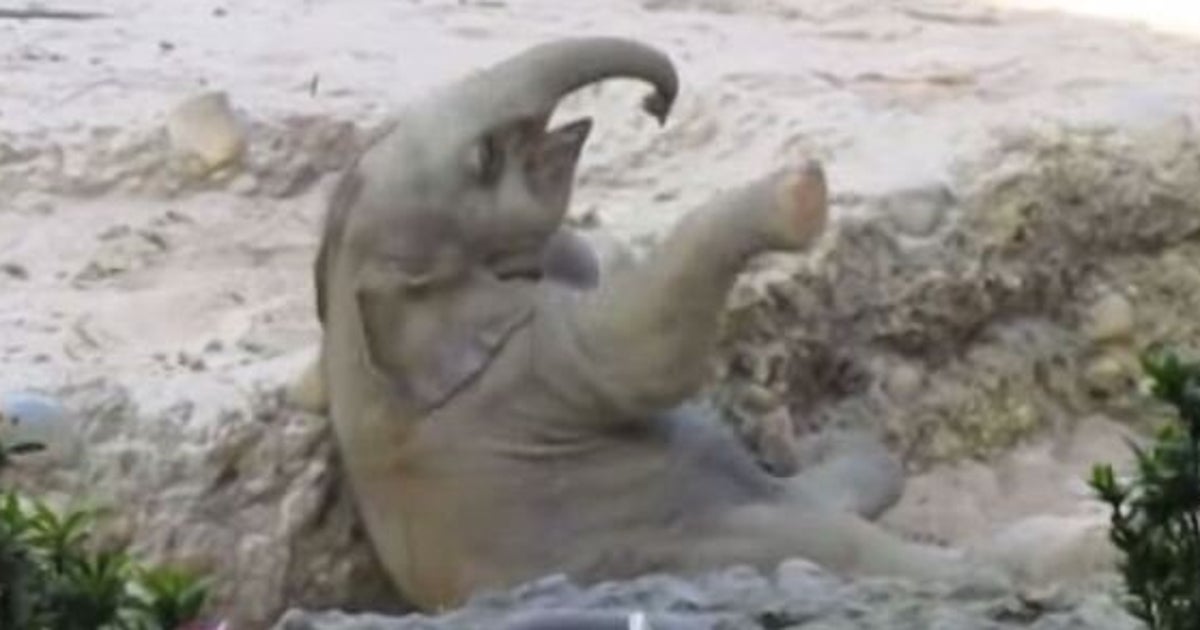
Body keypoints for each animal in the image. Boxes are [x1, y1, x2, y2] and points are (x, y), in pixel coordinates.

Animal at [292, 37, 1006, 612]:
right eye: (486, 159)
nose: (656, 103)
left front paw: (788, 433)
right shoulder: (528, 372)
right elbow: (648, 354)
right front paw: (801, 189)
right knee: (836, 540)